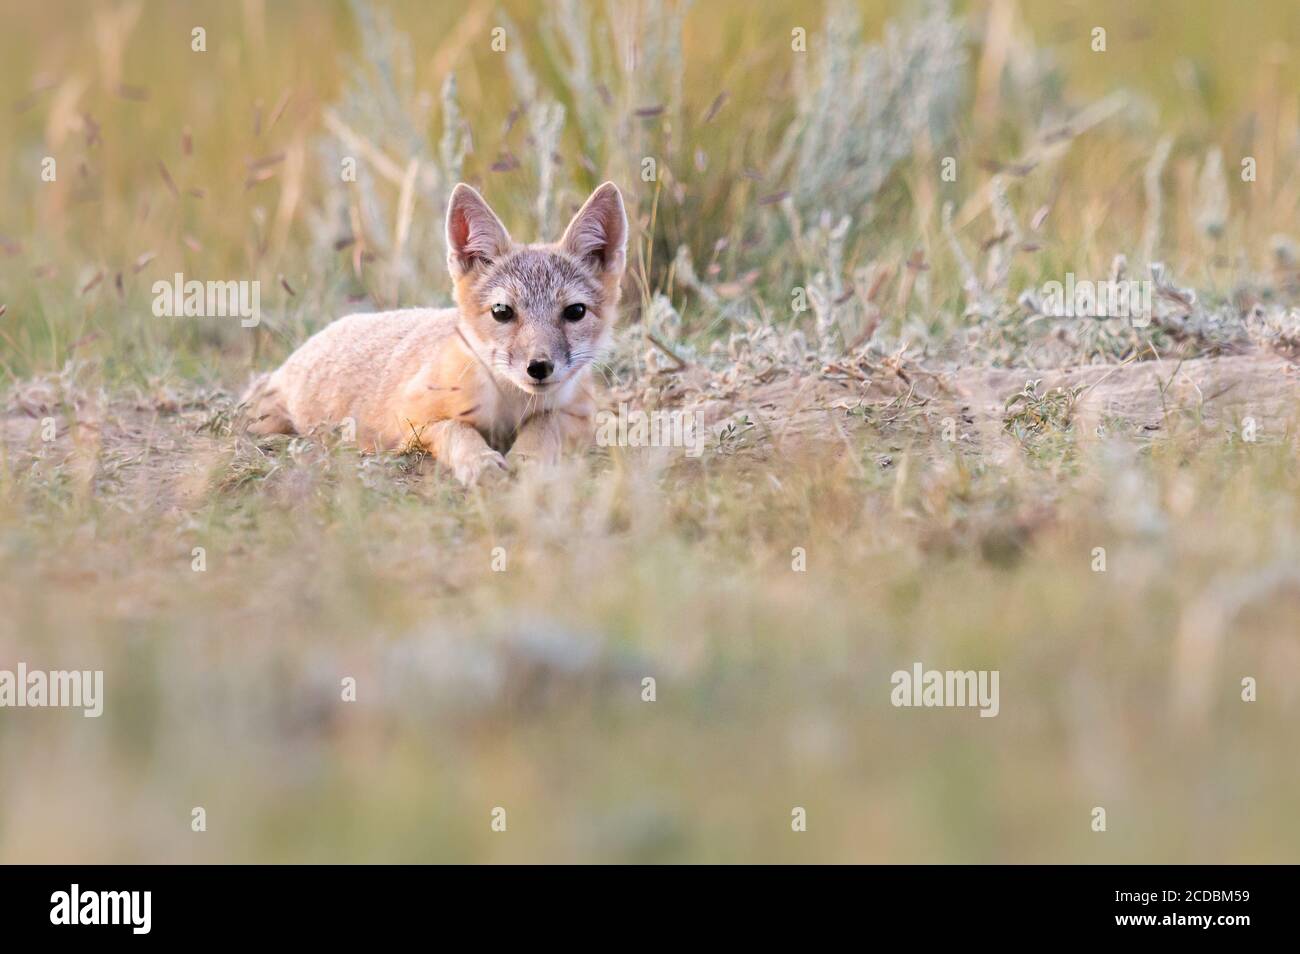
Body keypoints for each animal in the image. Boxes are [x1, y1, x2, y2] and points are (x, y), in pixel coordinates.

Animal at [241, 181, 628, 485]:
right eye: (502, 312)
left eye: (574, 312)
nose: (539, 367)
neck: (511, 404)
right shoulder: (408, 419)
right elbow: (457, 429)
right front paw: (480, 461)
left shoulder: (581, 412)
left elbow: (545, 423)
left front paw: (528, 457)